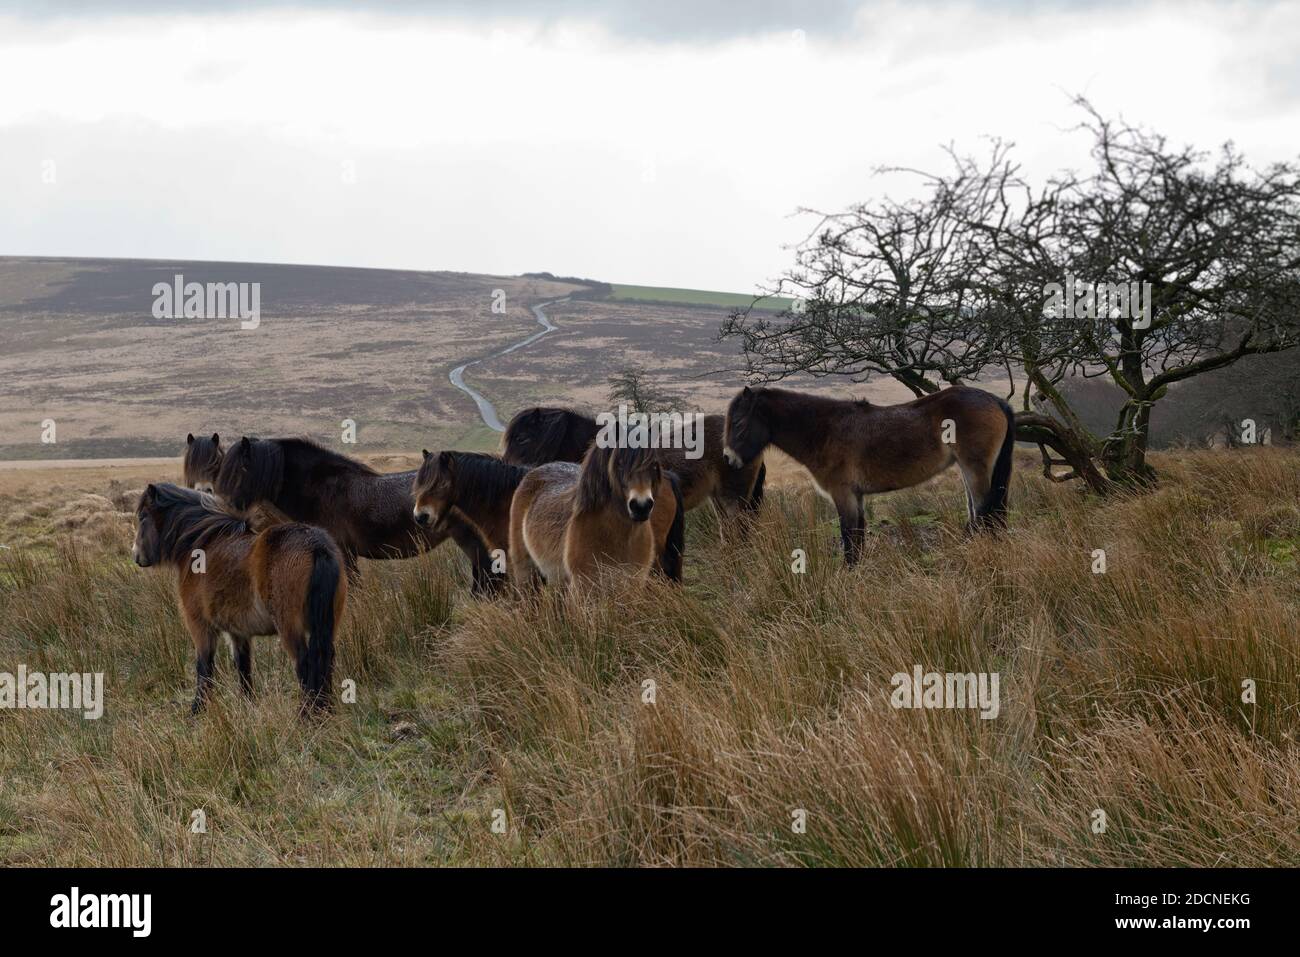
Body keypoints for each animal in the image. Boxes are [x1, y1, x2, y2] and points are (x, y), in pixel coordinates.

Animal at [132, 483, 345, 714]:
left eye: (142, 516)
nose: (136, 556)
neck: (200, 544)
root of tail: (317, 547)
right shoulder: (238, 632)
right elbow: (243, 667)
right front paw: (248, 703)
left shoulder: (200, 626)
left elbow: (204, 667)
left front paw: (197, 709)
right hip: (326, 625)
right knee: (326, 658)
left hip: (289, 627)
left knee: (304, 662)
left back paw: (305, 714)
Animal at [723, 385, 1015, 564]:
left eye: (738, 422)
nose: (728, 459)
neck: (825, 430)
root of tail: (994, 400)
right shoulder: (857, 496)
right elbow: (859, 537)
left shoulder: (843, 495)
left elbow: (849, 537)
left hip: (975, 469)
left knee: (985, 513)